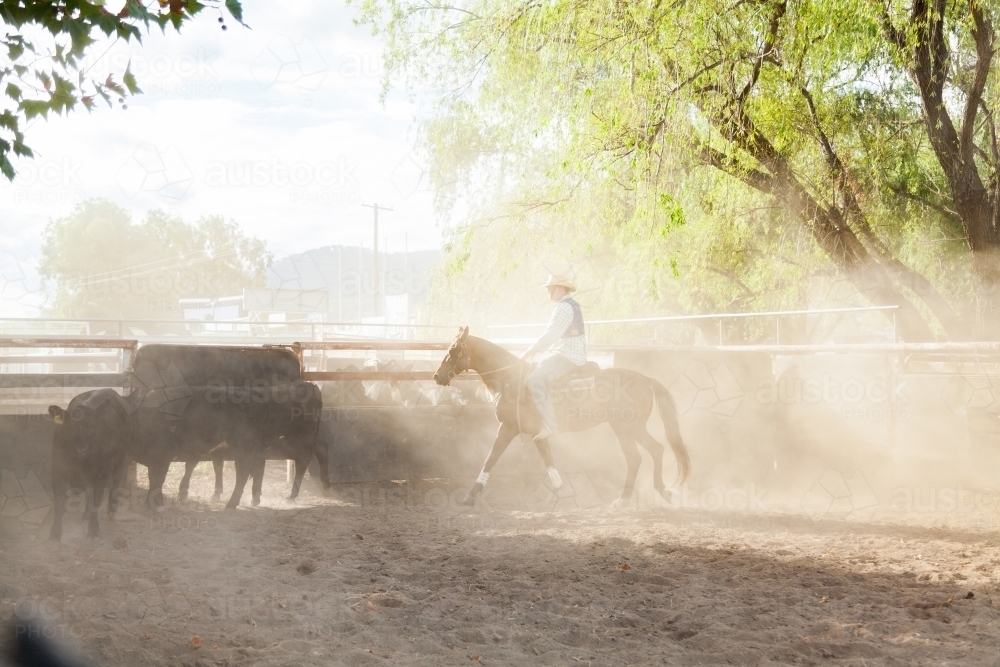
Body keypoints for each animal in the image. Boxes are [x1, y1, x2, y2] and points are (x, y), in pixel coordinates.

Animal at [432, 327, 690, 507]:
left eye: (453, 351)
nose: (437, 375)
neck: (511, 379)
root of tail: (645, 379)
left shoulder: (507, 428)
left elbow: (490, 458)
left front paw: (470, 494)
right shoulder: (536, 434)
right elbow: (548, 459)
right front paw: (557, 490)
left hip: (627, 429)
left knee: (641, 456)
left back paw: (627, 498)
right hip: (629, 429)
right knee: (651, 452)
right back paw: (658, 493)